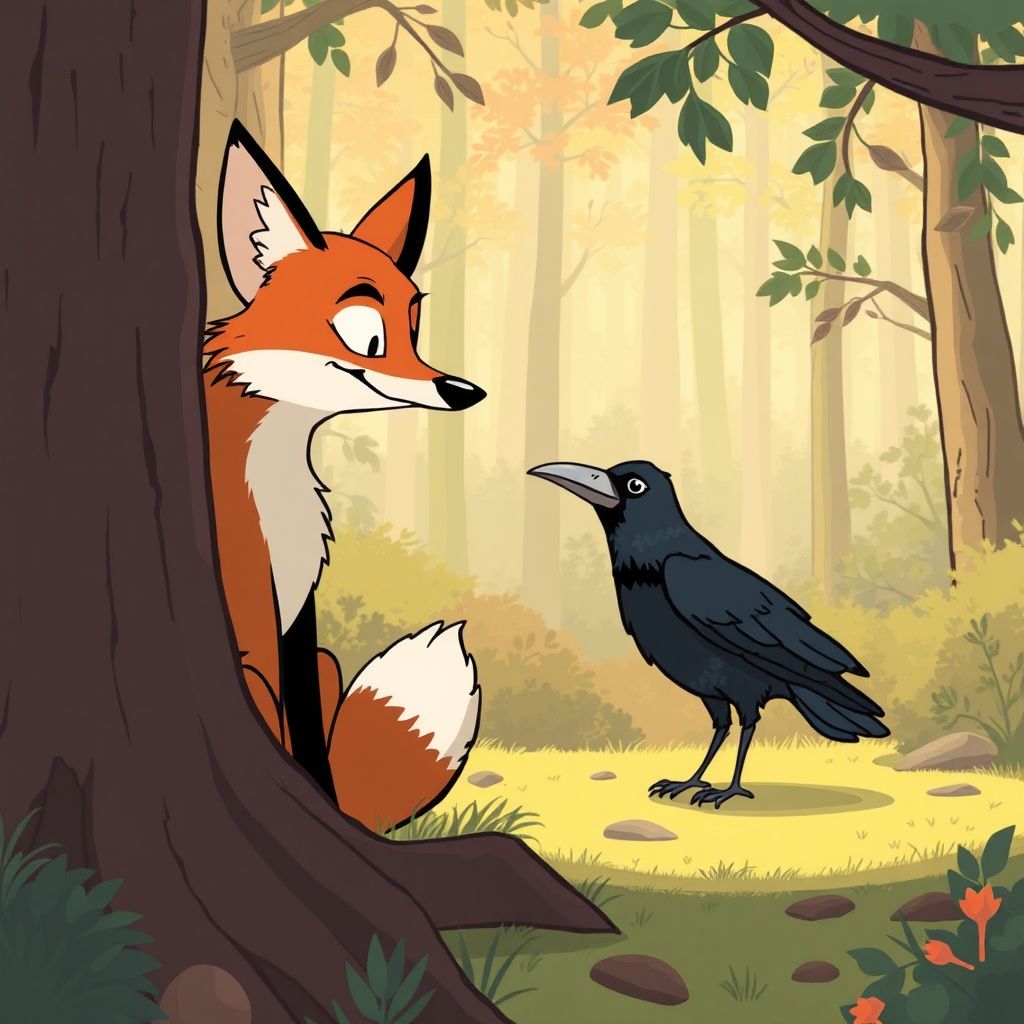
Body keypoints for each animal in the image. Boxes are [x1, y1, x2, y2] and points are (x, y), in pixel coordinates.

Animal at [203, 120, 484, 830]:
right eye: (364, 334)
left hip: (327, 661)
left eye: (415, 323)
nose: (464, 391)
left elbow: (308, 741)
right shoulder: (259, 596)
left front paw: (317, 797)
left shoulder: (298, 617)